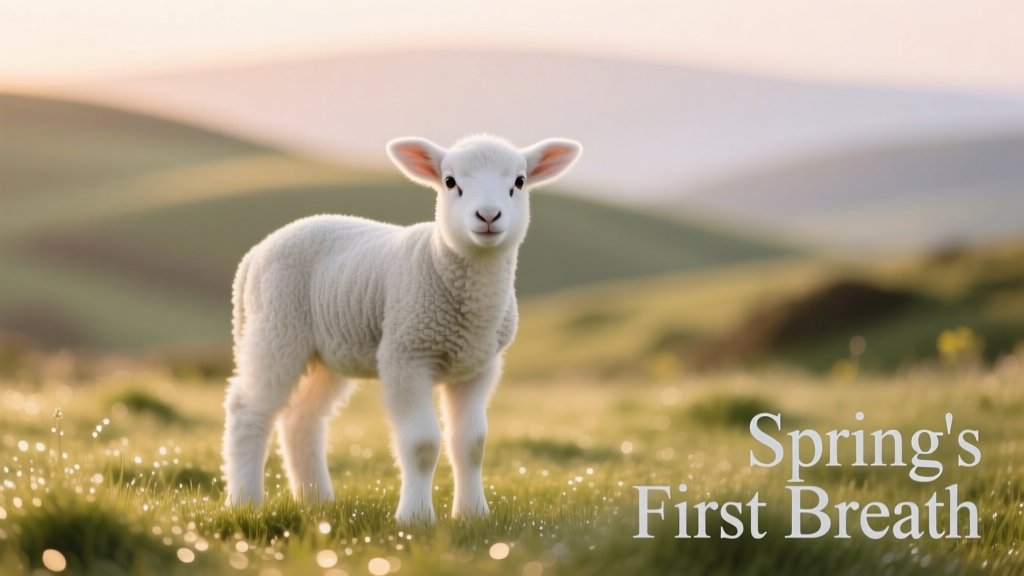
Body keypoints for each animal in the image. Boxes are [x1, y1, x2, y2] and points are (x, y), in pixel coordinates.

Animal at [222, 134, 582, 523]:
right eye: (450, 182)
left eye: (519, 181)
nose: (488, 216)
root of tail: (253, 254)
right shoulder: (406, 355)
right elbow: (422, 443)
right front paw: (416, 518)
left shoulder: (479, 367)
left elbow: (471, 443)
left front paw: (473, 515)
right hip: (276, 328)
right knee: (248, 410)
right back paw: (245, 503)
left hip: (327, 353)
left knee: (301, 418)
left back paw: (318, 502)